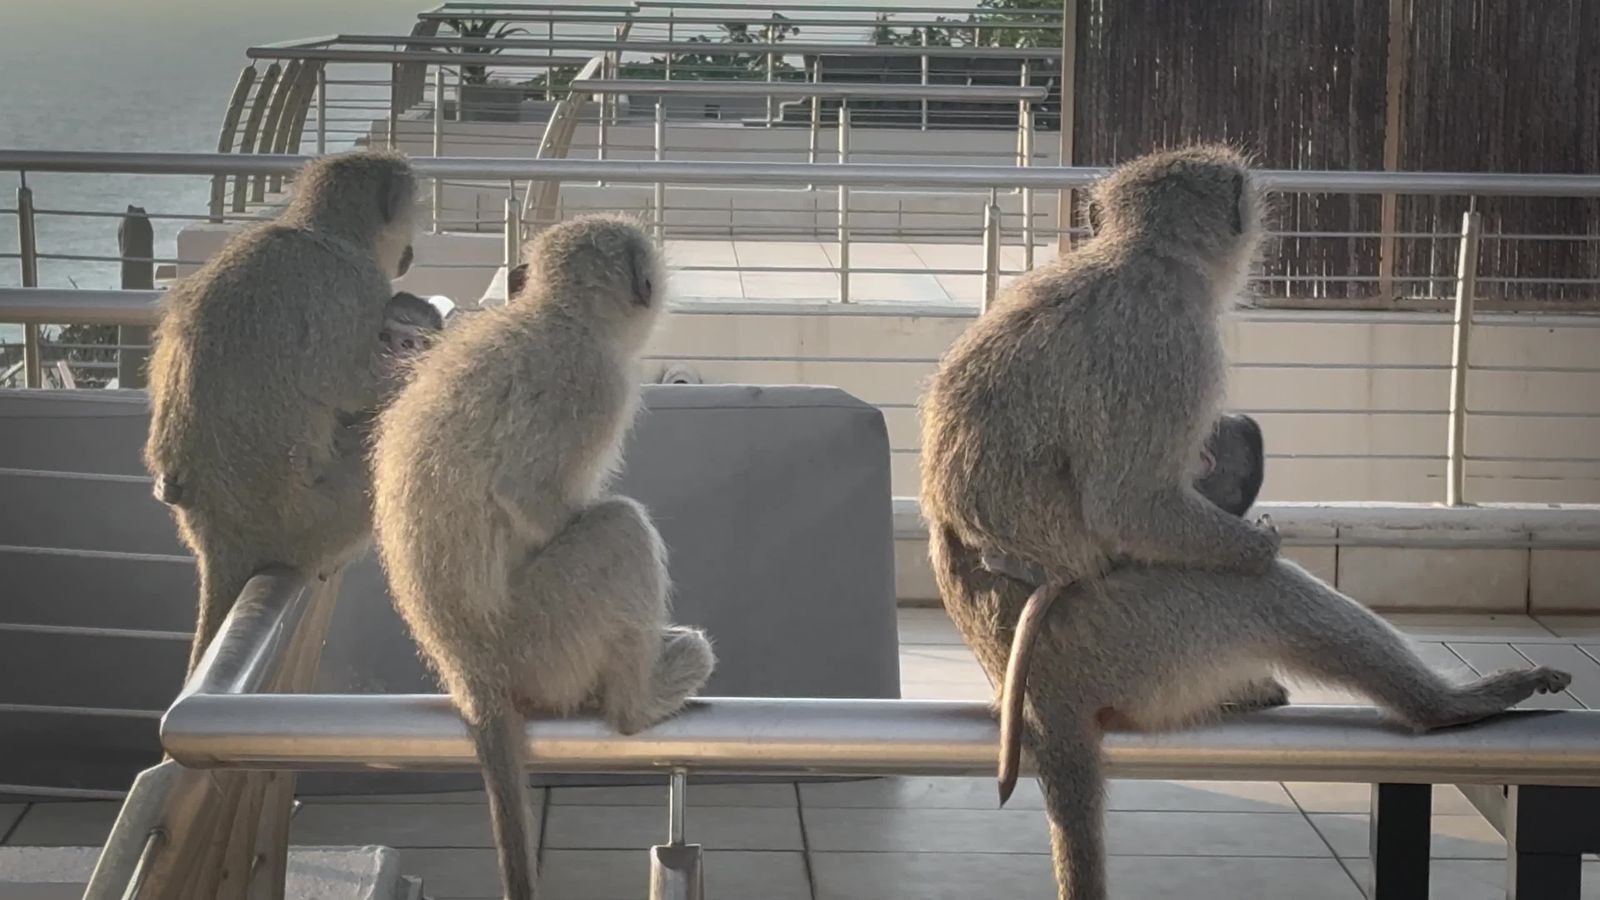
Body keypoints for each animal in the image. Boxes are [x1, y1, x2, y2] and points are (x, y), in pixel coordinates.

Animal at [142, 149, 418, 675]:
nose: (411, 253)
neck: (319, 227)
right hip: (317, 520)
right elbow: (351, 382)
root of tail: (219, 535)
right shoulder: (356, 284)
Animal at [370, 214, 716, 900]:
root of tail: (471, 676)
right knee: (619, 527)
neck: (556, 311)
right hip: (543, 638)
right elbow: (526, 495)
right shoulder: (595, 384)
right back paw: (637, 702)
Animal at [917, 146, 1572, 900]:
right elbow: (1131, 505)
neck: (1139, 255)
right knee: (1263, 592)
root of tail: (1034, 694)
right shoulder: (1174, 344)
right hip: (1131, 637)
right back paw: (1441, 706)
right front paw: (1257, 541)